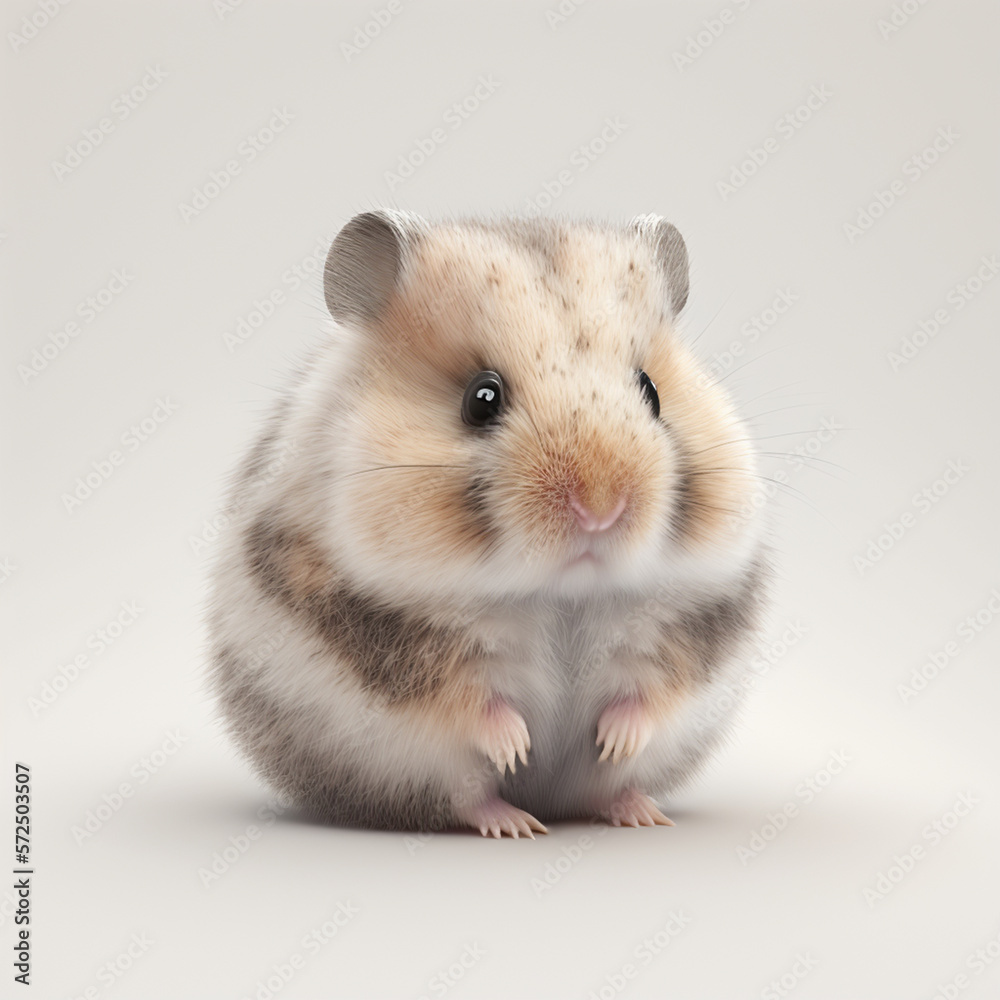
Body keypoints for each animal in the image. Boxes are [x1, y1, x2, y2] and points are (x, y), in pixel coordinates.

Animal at [207, 210, 769, 838]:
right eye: (481, 398)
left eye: (650, 390)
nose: (600, 510)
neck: (560, 595)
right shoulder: (378, 627)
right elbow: (470, 700)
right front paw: (516, 749)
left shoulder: (694, 616)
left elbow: (653, 687)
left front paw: (613, 741)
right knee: (465, 797)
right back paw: (517, 822)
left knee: (606, 789)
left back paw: (639, 812)